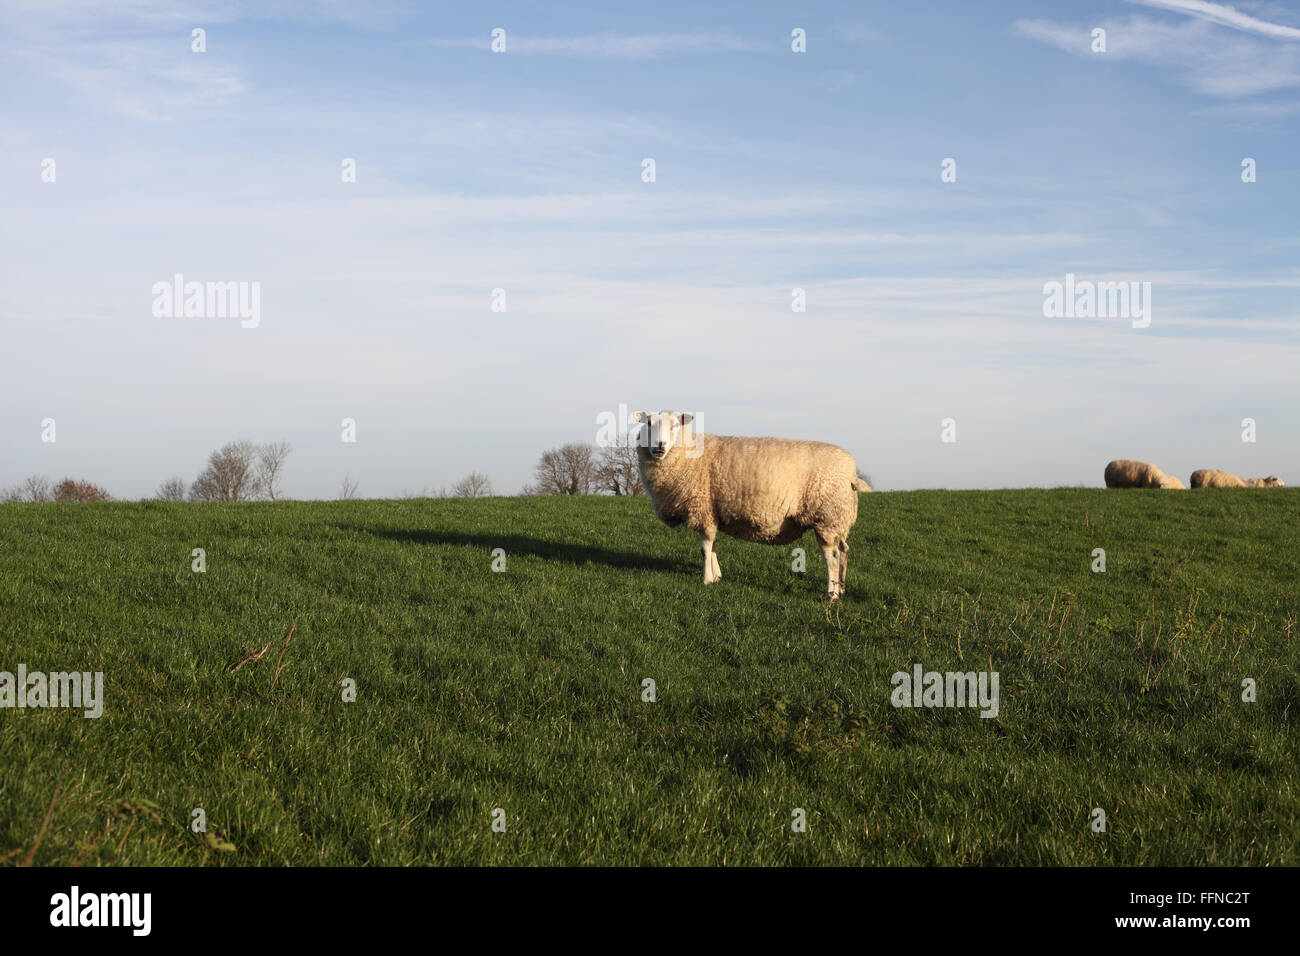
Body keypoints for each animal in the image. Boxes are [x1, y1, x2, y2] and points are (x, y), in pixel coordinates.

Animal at [632, 410, 871, 600]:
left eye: (675, 425)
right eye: (649, 423)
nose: (659, 447)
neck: (689, 456)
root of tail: (852, 471)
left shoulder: (704, 510)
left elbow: (705, 548)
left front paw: (706, 579)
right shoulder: (714, 512)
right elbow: (713, 546)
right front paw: (717, 576)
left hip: (826, 517)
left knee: (832, 556)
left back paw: (831, 594)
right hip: (838, 519)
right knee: (844, 550)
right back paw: (842, 588)